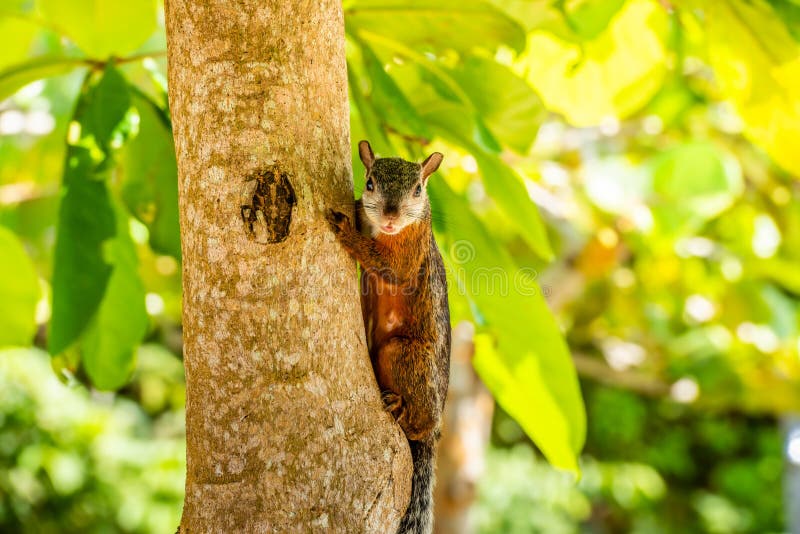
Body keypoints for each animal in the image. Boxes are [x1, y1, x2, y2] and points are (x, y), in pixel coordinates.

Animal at [326, 140, 451, 534]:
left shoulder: (410, 250)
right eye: (369, 183)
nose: (391, 215)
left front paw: (346, 232)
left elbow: (390, 267)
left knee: (420, 423)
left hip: (402, 354)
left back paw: (402, 411)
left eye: (418, 190)